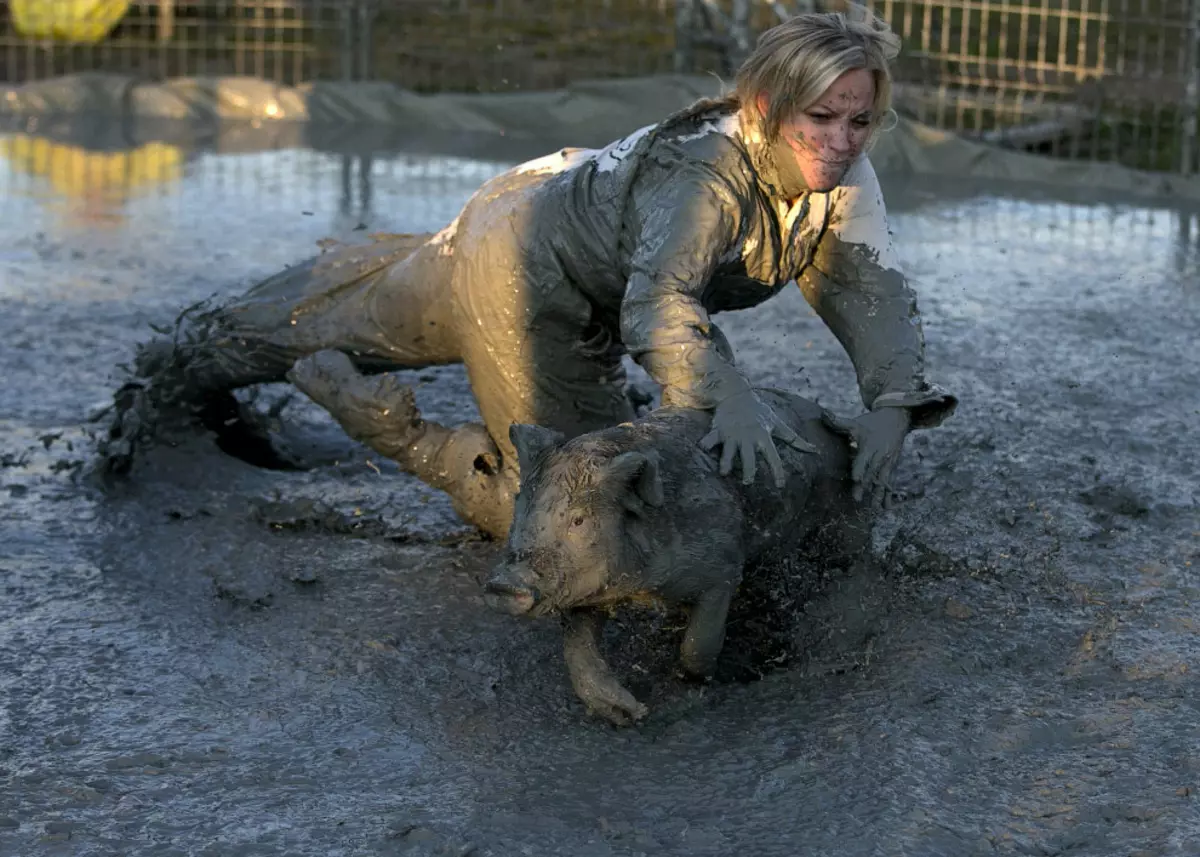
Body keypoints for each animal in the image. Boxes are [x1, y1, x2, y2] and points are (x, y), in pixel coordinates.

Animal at [482, 391, 868, 724]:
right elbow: (578, 647)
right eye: (520, 504)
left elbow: (698, 641)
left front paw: (693, 680)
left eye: (578, 520)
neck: (640, 587)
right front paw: (629, 715)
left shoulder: (723, 566)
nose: (502, 584)